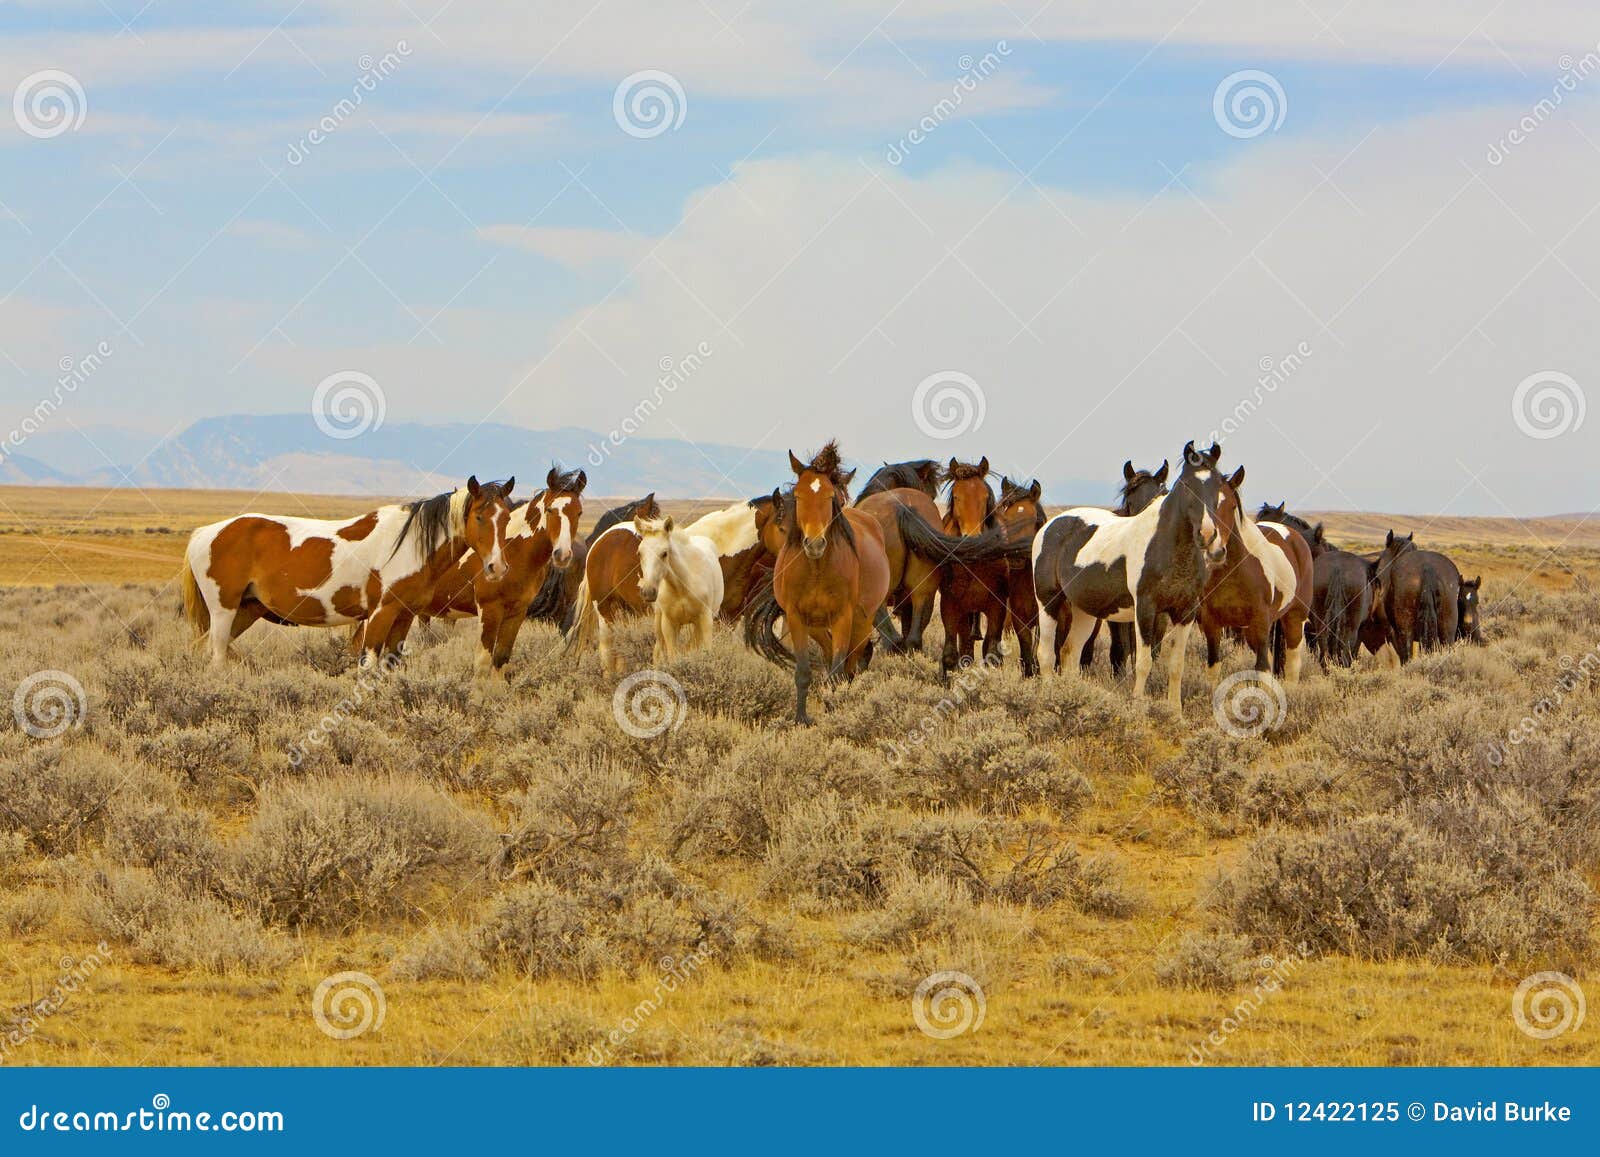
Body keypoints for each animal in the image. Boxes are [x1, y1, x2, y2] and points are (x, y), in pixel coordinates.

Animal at [180, 477, 515, 667]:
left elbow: (390, 665)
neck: (408, 544)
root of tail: (205, 533)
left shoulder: (404, 616)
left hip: (246, 610)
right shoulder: (379, 614)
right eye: (479, 516)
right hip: (224, 610)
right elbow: (367, 664)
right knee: (217, 656)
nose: (497, 567)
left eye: (507, 517)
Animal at [636, 516, 725, 664]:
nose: (648, 591)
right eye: (639, 553)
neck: (681, 587)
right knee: (658, 651)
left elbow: (706, 650)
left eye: (664, 553)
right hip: (659, 621)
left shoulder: (705, 619)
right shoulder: (669, 624)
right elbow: (673, 657)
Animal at [749, 442, 900, 725]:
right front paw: (800, 719)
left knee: (850, 663)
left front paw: (837, 710)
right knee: (831, 656)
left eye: (830, 497)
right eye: (798, 496)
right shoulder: (797, 618)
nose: (815, 544)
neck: (816, 570)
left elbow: (840, 670)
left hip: (862, 623)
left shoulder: (843, 618)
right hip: (817, 627)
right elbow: (804, 672)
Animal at [934, 460, 1046, 678]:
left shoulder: (997, 606)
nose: (973, 538)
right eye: (957, 497)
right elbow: (950, 654)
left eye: (984, 497)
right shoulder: (950, 605)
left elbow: (991, 652)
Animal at [1197, 469, 1315, 683]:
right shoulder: (1211, 624)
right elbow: (1213, 670)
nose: (1215, 550)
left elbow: (1263, 670)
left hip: (1295, 617)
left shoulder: (1260, 624)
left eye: (1232, 506)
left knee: (1292, 666)